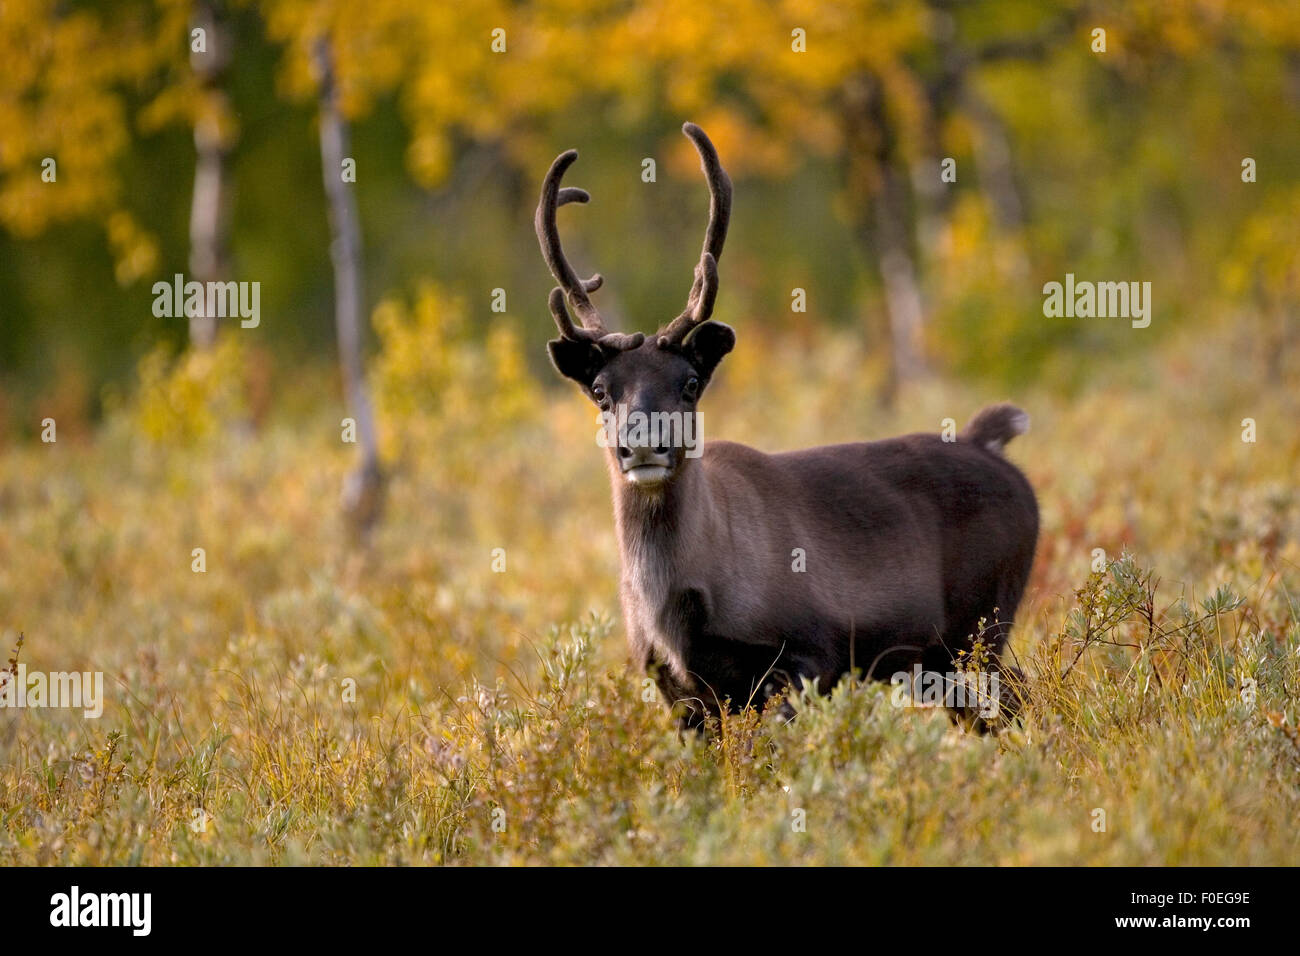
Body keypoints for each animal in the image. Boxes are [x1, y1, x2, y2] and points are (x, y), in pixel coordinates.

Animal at [535, 122, 1039, 730]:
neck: (676, 603)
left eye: (690, 382)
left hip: (981, 625)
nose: (643, 444)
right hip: (942, 659)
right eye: (601, 391)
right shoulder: (676, 691)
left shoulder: (806, 654)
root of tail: (995, 447)